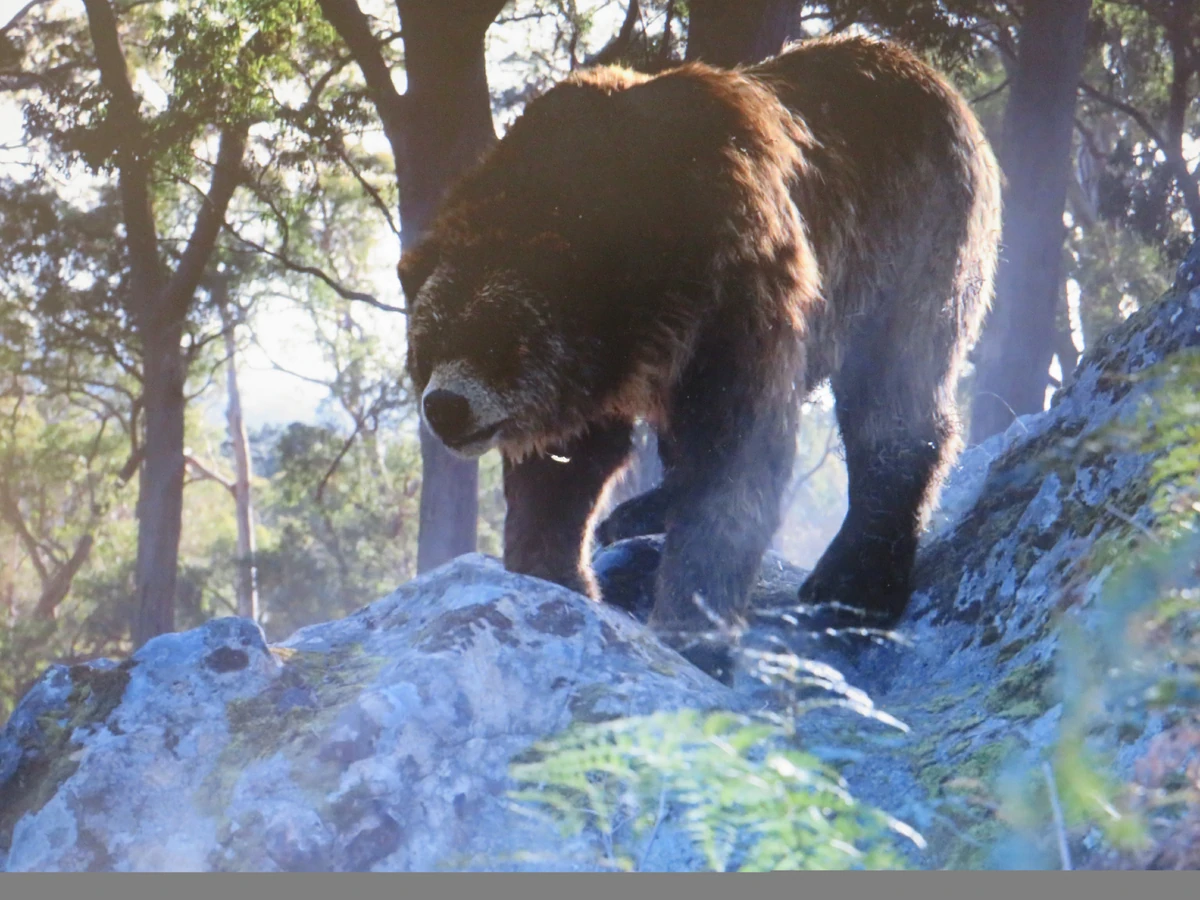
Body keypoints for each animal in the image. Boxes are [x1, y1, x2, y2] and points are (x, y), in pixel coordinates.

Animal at [399, 34, 1002, 655]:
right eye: (426, 345)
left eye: (499, 341)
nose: (445, 407)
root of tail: (935, 78)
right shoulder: (596, 370)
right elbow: (566, 469)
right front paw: (559, 574)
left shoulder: (734, 292)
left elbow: (732, 456)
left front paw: (694, 626)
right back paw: (639, 513)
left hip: (912, 245)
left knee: (892, 402)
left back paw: (856, 579)